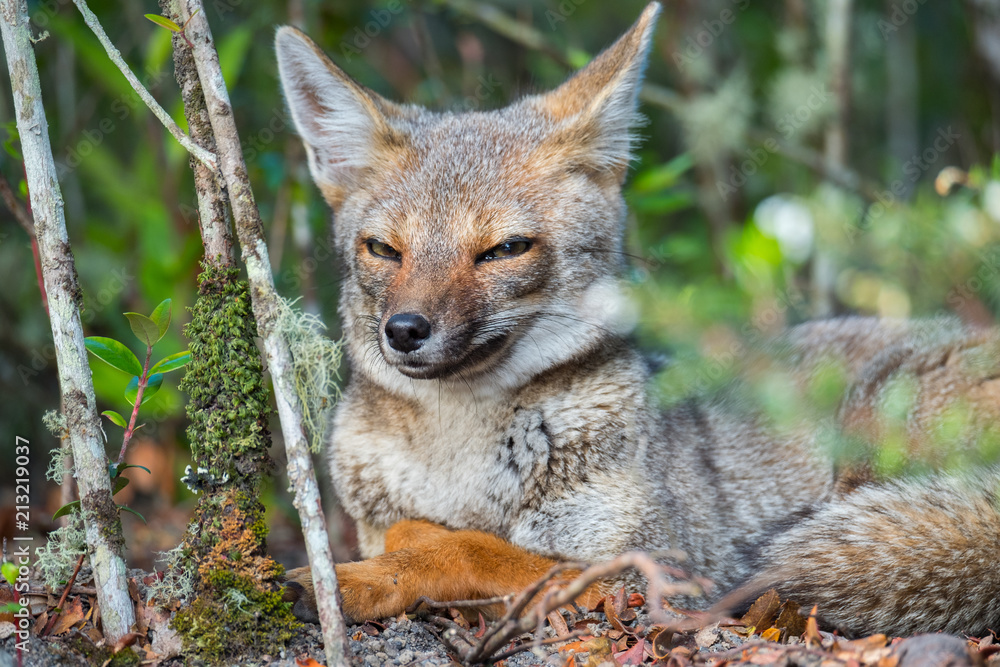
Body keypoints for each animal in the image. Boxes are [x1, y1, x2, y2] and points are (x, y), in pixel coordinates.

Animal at [274, 2, 1000, 638]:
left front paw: (362, 573)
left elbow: (471, 549)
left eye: (503, 250)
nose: (404, 330)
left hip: (876, 421)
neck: (459, 460)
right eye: (384, 249)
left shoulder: (659, 570)